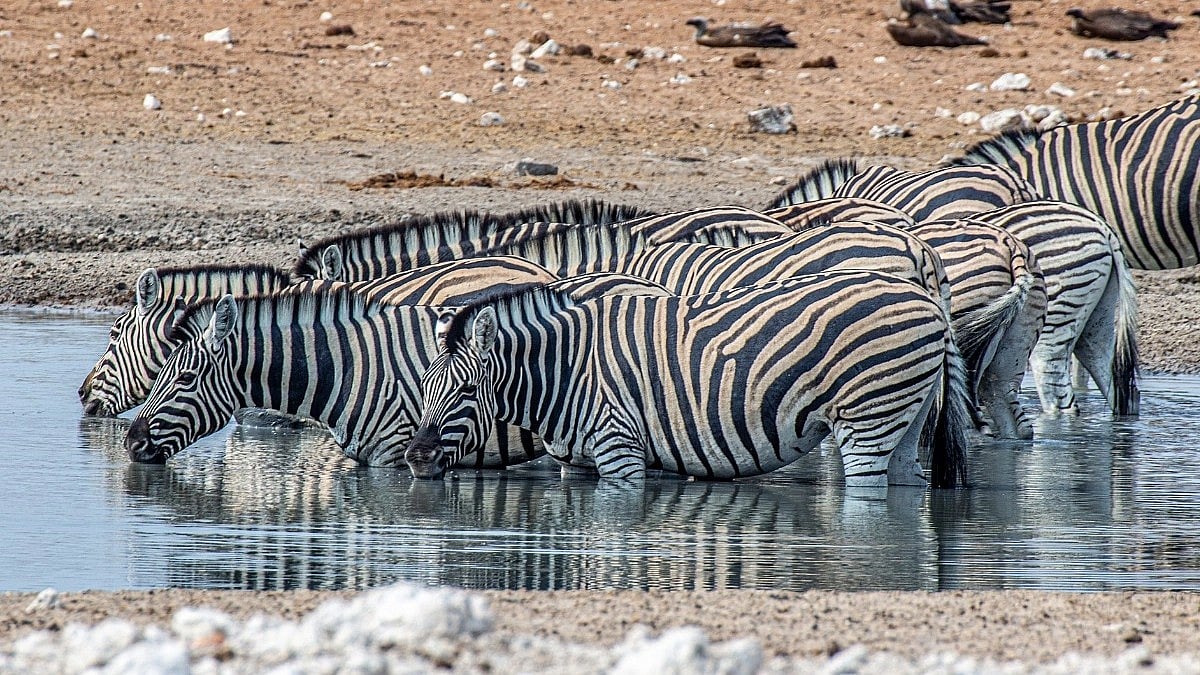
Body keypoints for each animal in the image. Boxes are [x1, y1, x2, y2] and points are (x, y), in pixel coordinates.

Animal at [404, 271, 974, 489]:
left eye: (466, 391)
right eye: (425, 385)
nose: (417, 458)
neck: (567, 368)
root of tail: (926, 298)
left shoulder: (620, 450)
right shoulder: (578, 464)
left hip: (869, 414)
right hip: (906, 413)